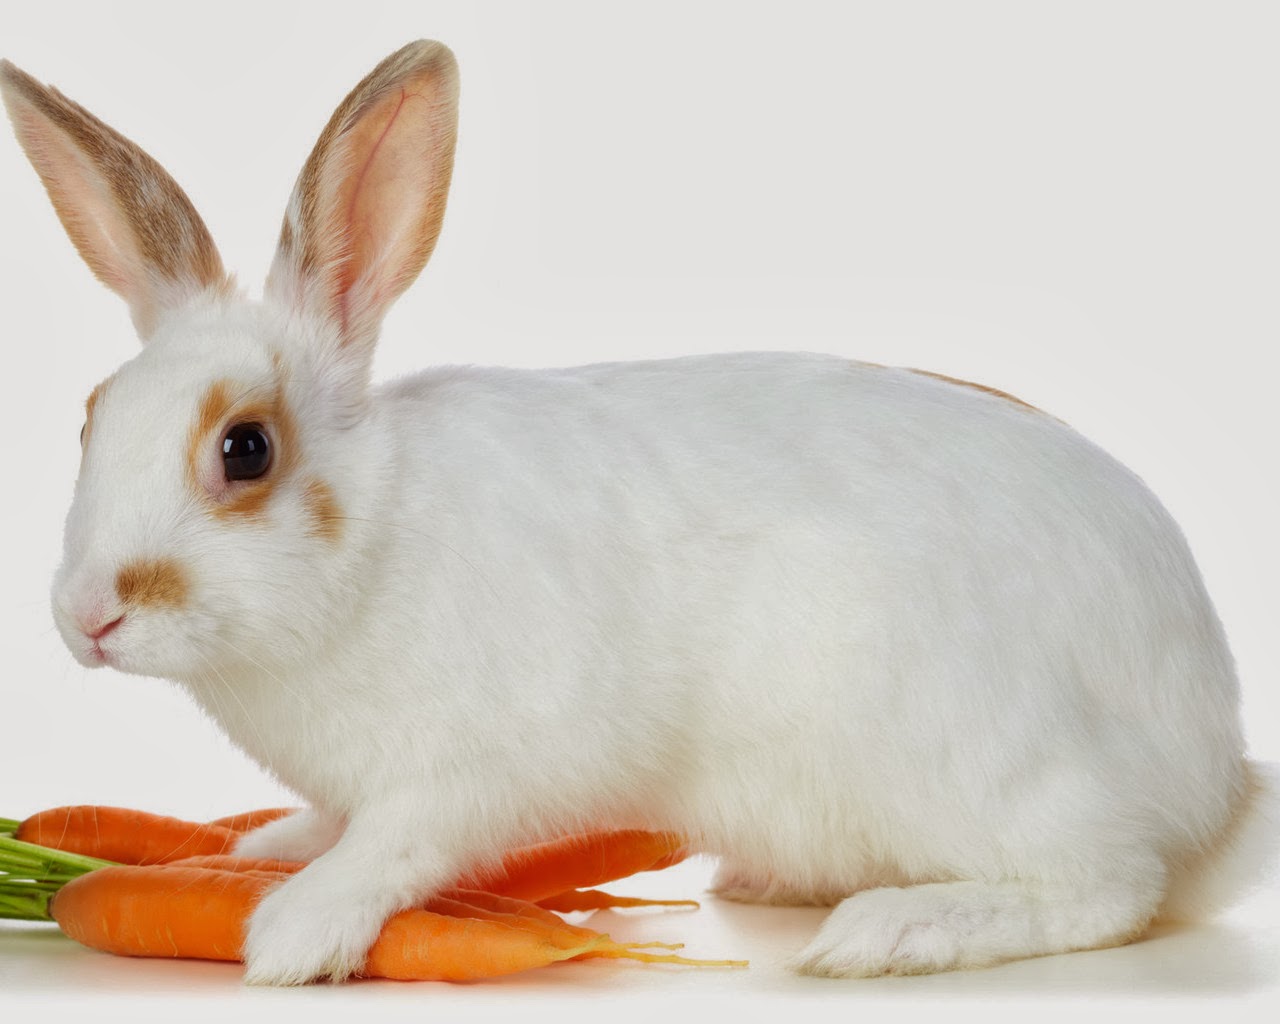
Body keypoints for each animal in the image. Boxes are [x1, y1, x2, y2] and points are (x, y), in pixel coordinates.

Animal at [1, 40, 1273, 987]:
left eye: (245, 448)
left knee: (1107, 888)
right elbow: (334, 820)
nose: (87, 617)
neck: (374, 539)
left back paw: (888, 930)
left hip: (984, 763)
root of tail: (1208, 764)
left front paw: (294, 929)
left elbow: (402, 841)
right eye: (91, 416)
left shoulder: (478, 765)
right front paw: (267, 847)